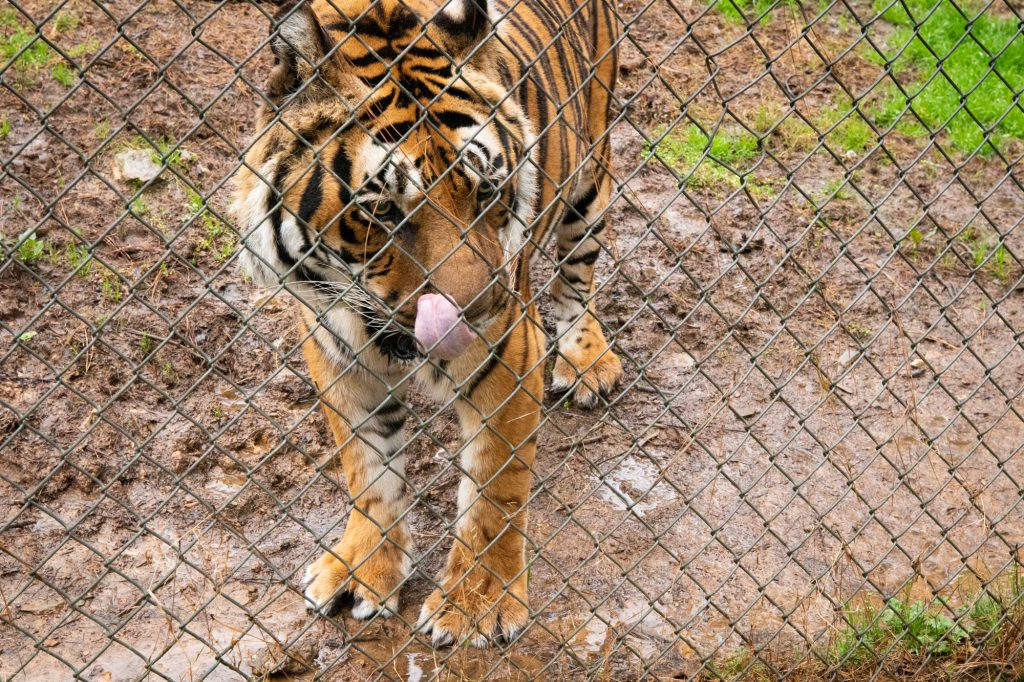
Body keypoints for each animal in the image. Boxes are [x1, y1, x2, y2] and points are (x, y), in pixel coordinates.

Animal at [231, 0, 622, 647]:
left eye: (486, 191)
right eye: (382, 210)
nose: (481, 310)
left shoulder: (511, 353)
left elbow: (495, 489)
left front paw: (478, 605)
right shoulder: (334, 347)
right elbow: (367, 468)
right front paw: (363, 569)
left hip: (589, 176)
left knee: (578, 272)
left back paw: (587, 360)